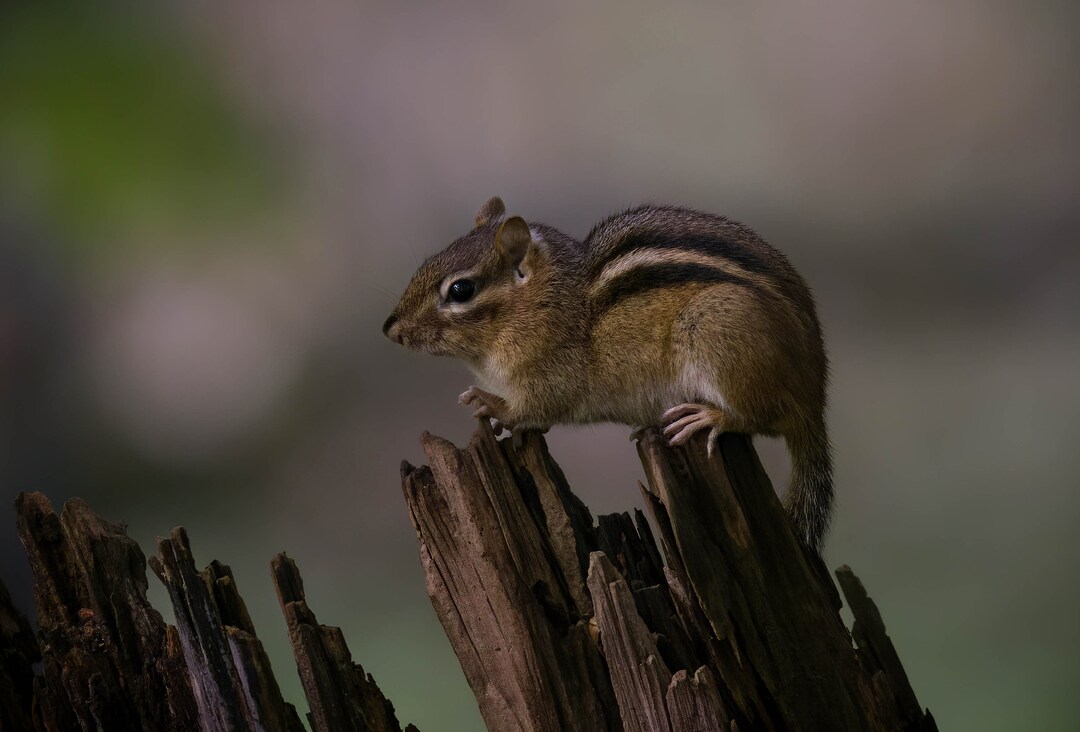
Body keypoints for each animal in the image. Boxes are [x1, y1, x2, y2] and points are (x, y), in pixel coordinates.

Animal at [383, 196, 833, 552]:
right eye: (429, 263)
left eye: (461, 290)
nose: (390, 328)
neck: (548, 300)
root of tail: (814, 397)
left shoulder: (550, 377)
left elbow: (532, 408)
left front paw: (489, 403)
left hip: (717, 334)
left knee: (757, 415)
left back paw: (708, 416)